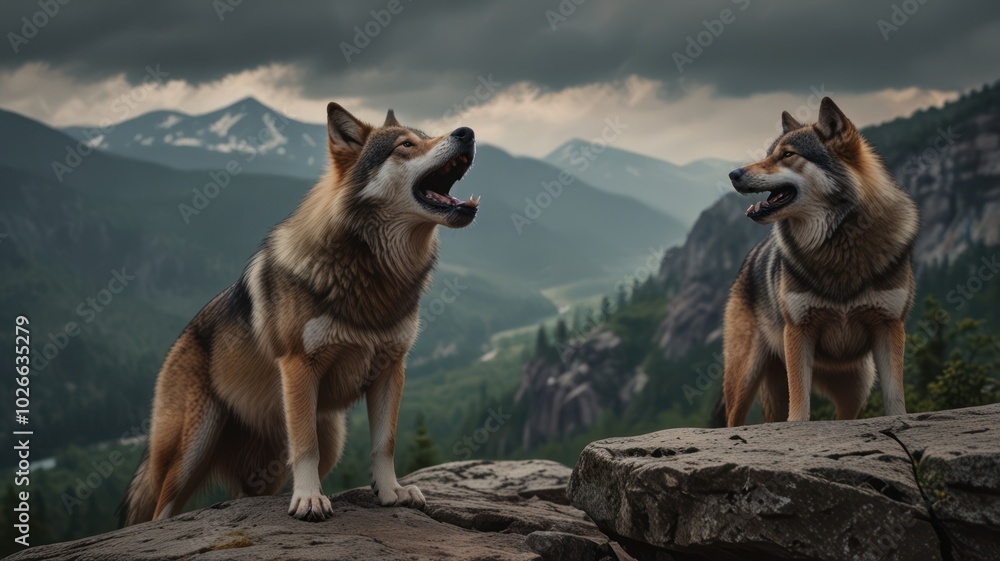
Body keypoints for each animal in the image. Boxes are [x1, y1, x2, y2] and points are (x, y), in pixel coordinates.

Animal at [121, 103, 480, 523]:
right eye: (406, 145)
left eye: (426, 135)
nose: (467, 132)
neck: (372, 273)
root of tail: (177, 344)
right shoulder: (298, 366)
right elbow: (305, 446)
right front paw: (309, 500)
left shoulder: (391, 368)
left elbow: (385, 443)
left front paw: (391, 492)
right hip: (193, 446)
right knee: (161, 509)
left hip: (324, 440)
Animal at [722, 97, 919, 426]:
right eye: (768, 154)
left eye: (787, 155)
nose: (733, 174)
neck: (838, 244)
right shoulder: (798, 330)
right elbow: (800, 405)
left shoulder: (889, 326)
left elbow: (895, 398)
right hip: (744, 377)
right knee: (733, 420)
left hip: (857, 386)